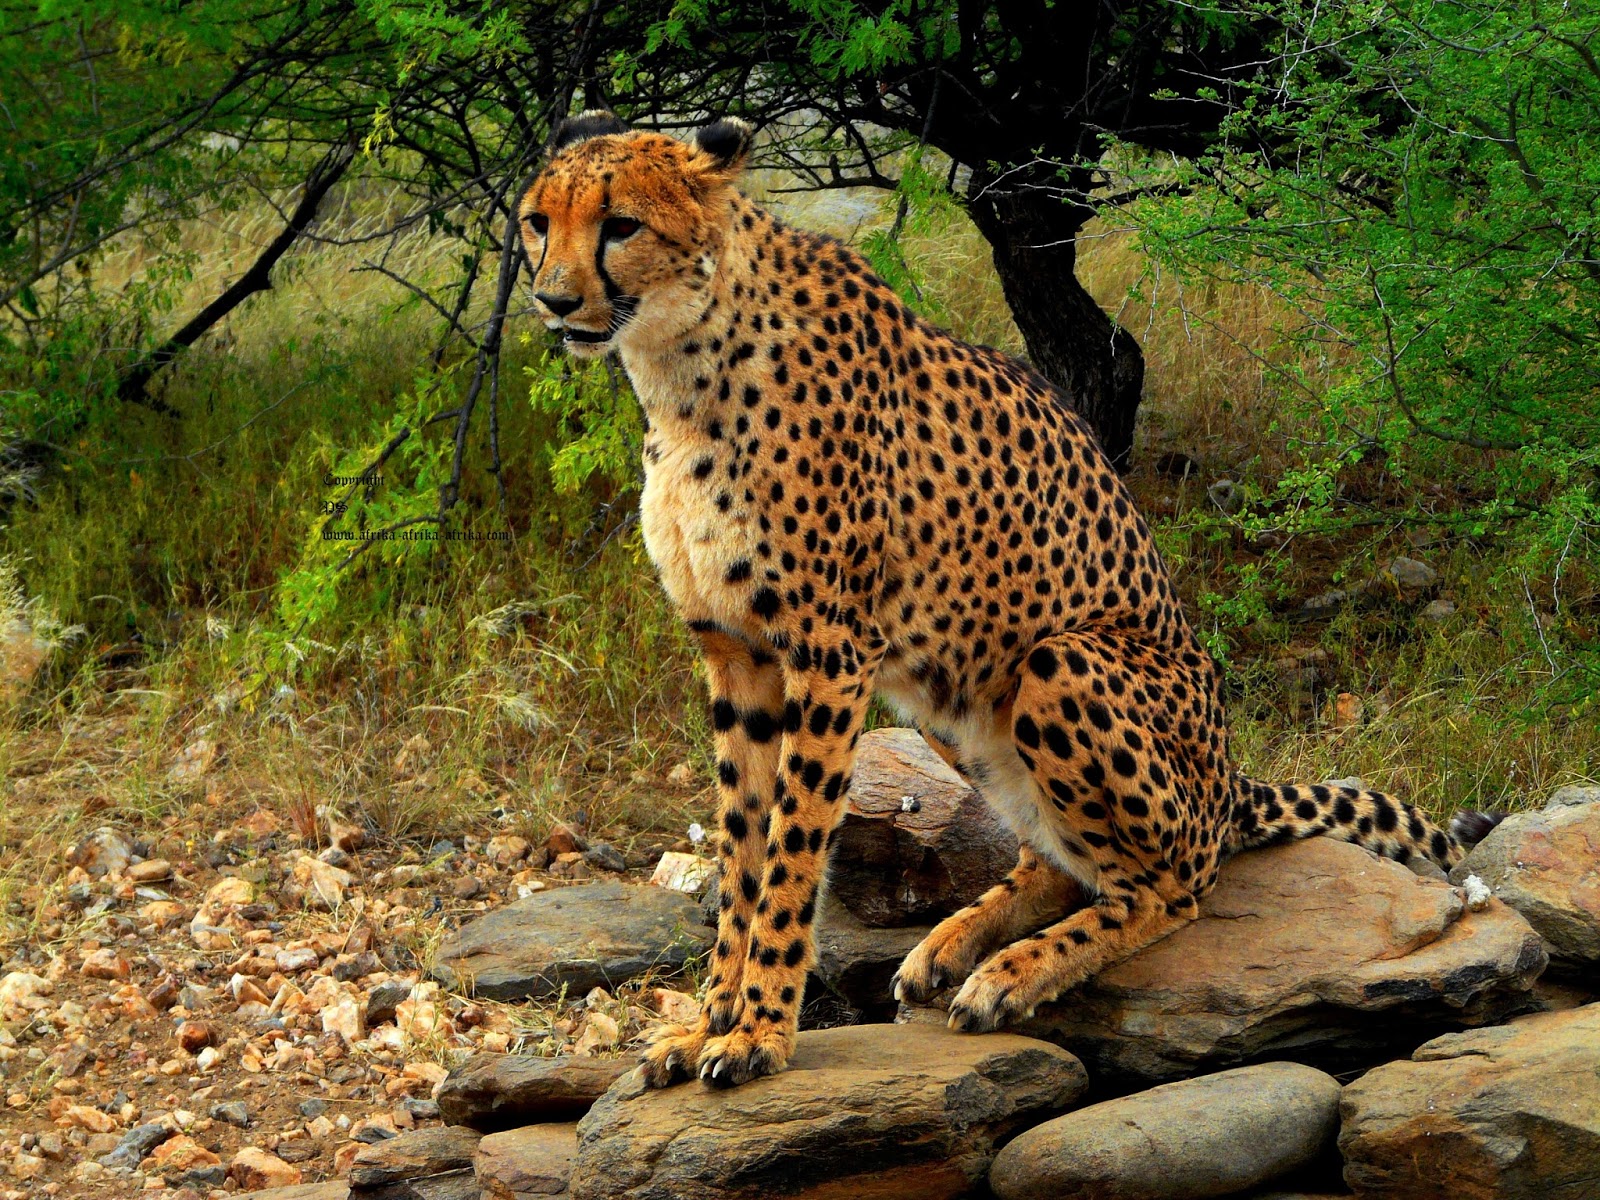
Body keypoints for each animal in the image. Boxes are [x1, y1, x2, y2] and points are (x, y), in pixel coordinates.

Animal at [515, 110, 1503, 1089]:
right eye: (538, 223)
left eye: (621, 225)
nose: (553, 300)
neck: (681, 364)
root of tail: (1228, 779)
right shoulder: (735, 651)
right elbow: (742, 849)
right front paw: (711, 1017)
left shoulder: (828, 650)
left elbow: (792, 848)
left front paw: (759, 1029)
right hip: (952, 690)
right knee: (1068, 861)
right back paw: (955, 942)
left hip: (1058, 661)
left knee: (1175, 882)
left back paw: (1011, 973)